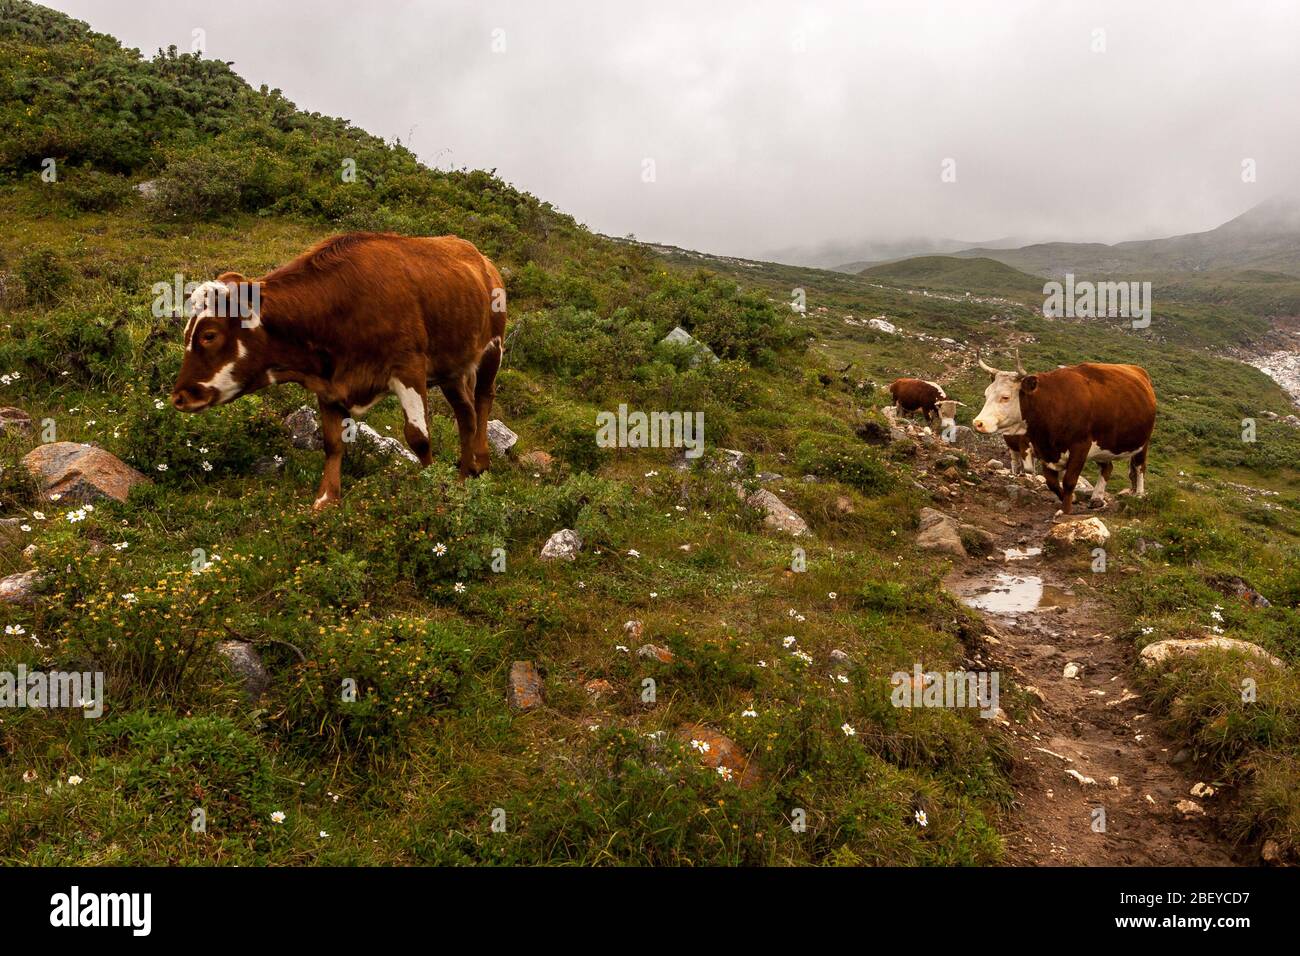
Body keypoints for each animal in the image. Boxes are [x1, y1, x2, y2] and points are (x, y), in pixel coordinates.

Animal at [170, 232, 507, 509]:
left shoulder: (408, 368)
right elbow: (332, 444)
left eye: (209, 335)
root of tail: (480, 257)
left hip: (493, 347)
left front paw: (433, 493)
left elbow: (418, 437)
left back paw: (481, 461)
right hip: (453, 369)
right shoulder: (328, 384)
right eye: (187, 333)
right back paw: (464, 476)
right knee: (466, 415)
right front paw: (326, 499)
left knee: (483, 399)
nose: (180, 397)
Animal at [971, 352, 1155, 515]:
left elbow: (1069, 481)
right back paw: (1096, 498)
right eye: (986, 394)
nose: (978, 423)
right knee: (1107, 467)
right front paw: (1071, 499)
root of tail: (1138, 370)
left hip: (1143, 442)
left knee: (1140, 467)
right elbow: (1052, 482)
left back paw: (1139, 494)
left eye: (1005, 397)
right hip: (1104, 442)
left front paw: (1065, 511)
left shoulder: (1080, 446)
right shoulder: (1043, 449)